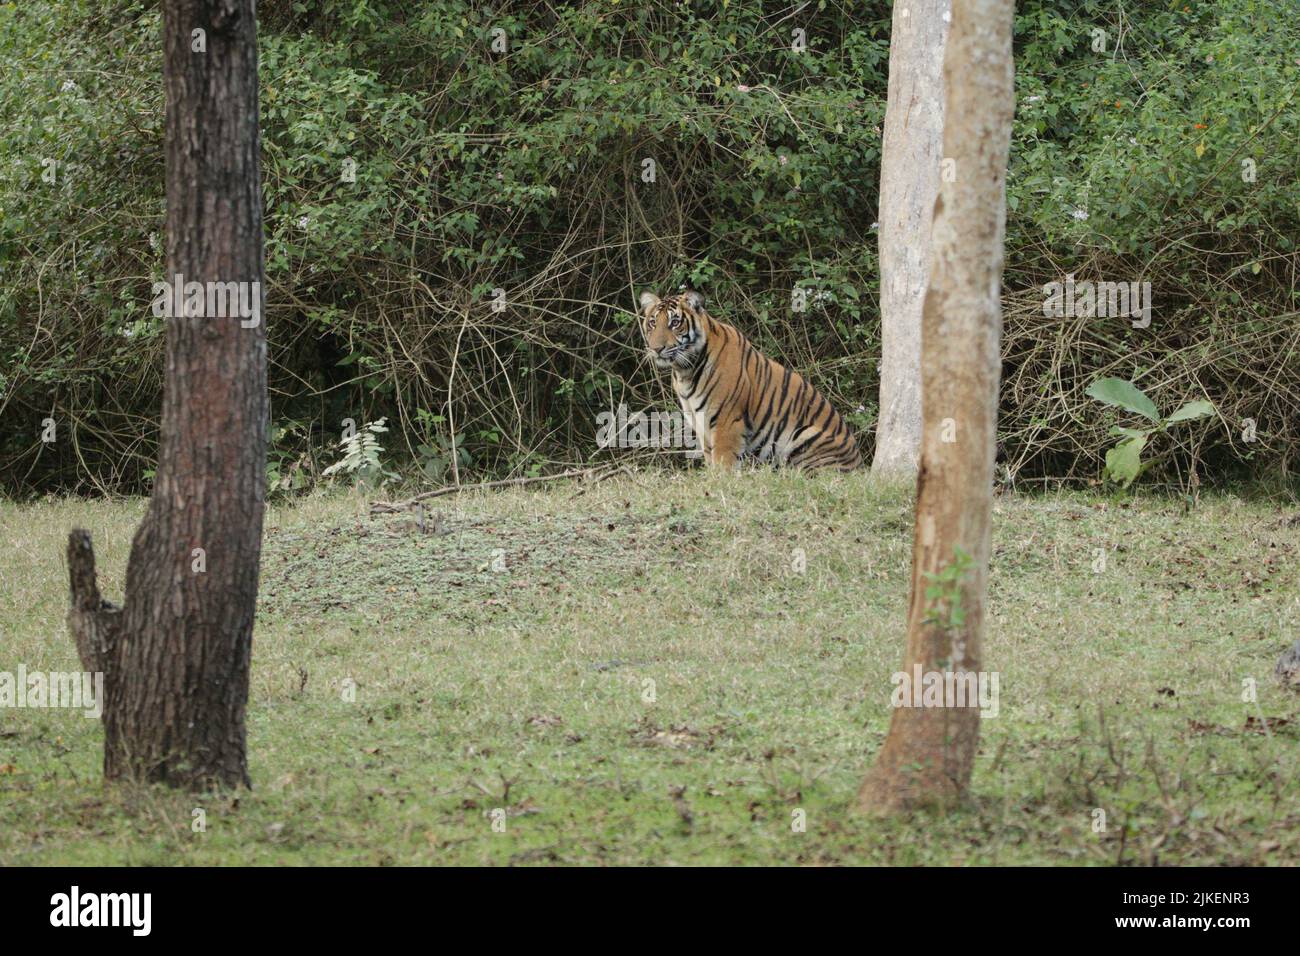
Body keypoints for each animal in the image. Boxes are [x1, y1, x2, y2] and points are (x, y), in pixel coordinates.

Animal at [638, 289, 861, 471]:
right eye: (653, 323)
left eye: (675, 323)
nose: (656, 348)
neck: (685, 371)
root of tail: (858, 466)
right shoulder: (701, 425)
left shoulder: (727, 421)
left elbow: (723, 462)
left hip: (804, 435)